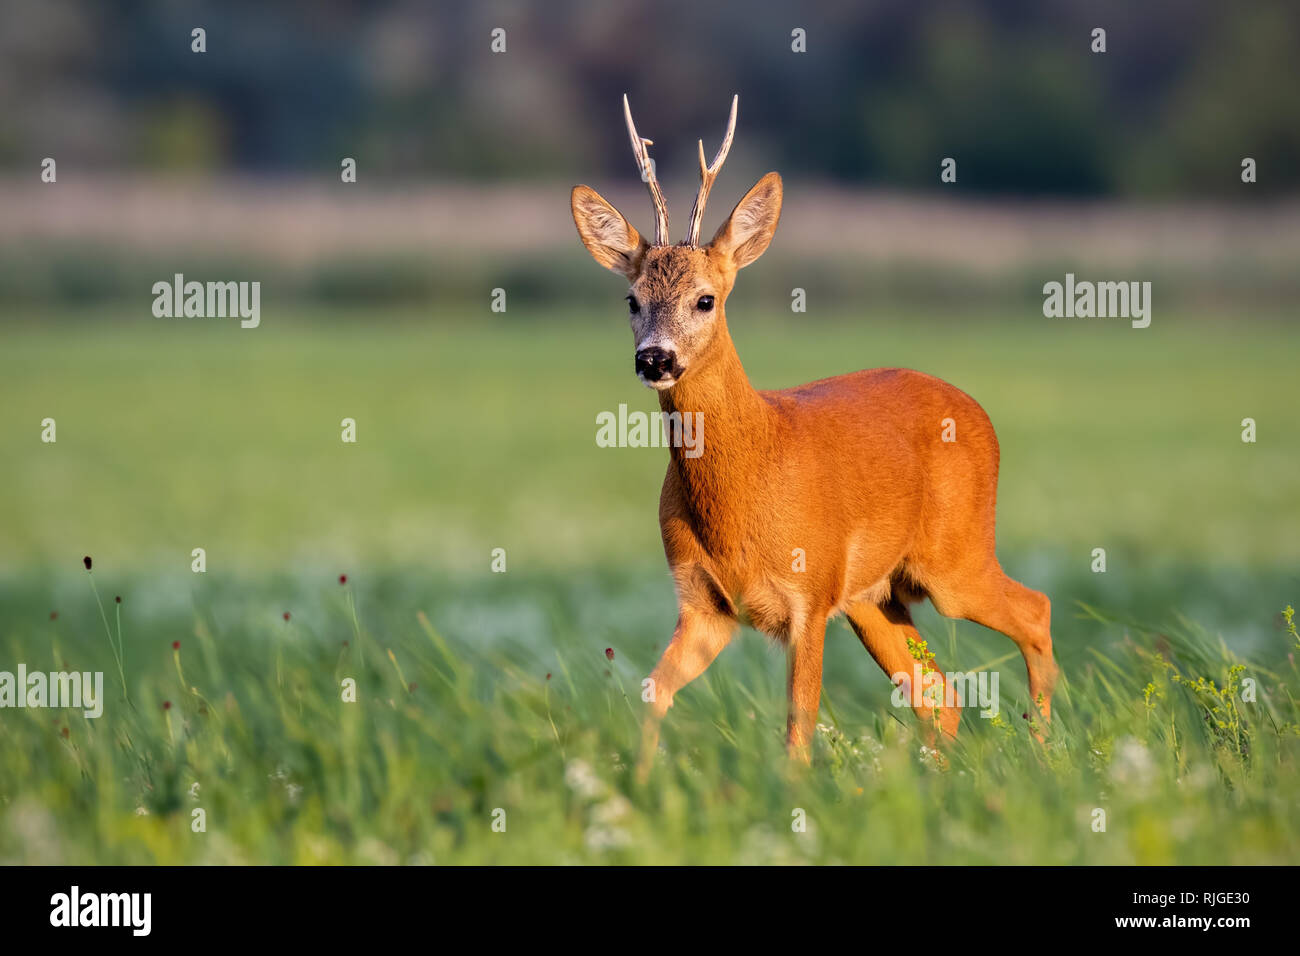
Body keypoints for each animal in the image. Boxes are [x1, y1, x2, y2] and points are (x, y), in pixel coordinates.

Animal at [570, 95, 1058, 777]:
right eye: (631, 299)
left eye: (706, 299)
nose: (655, 359)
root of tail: (978, 410)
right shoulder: (705, 605)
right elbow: (653, 692)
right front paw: (638, 783)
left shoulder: (811, 594)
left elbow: (799, 725)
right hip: (877, 596)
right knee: (941, 695)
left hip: (954, 558)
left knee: (1034, 611)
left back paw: (1044, 754)